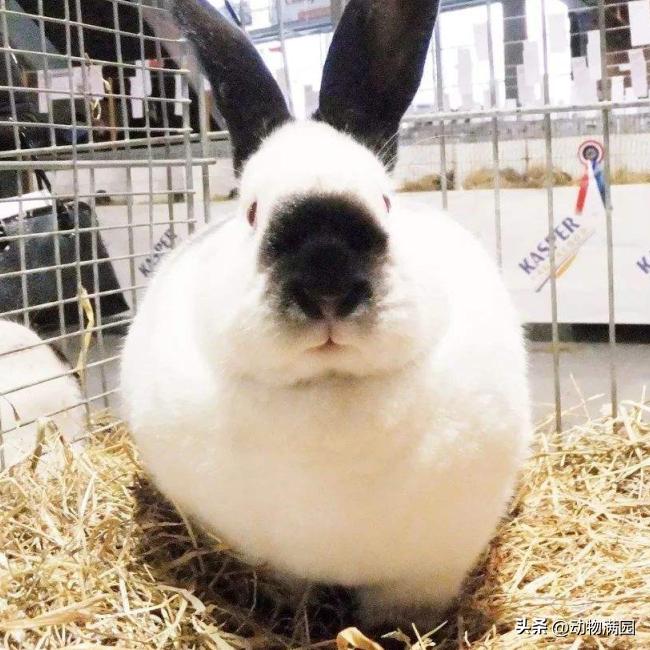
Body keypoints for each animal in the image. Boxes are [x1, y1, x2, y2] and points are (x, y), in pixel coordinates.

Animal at [121, 0, 532, 631]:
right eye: (250, 210)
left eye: (385, 201)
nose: (327, 285)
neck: (330, 391)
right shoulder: (271, 561)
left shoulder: (427, 571)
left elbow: (401, 613)